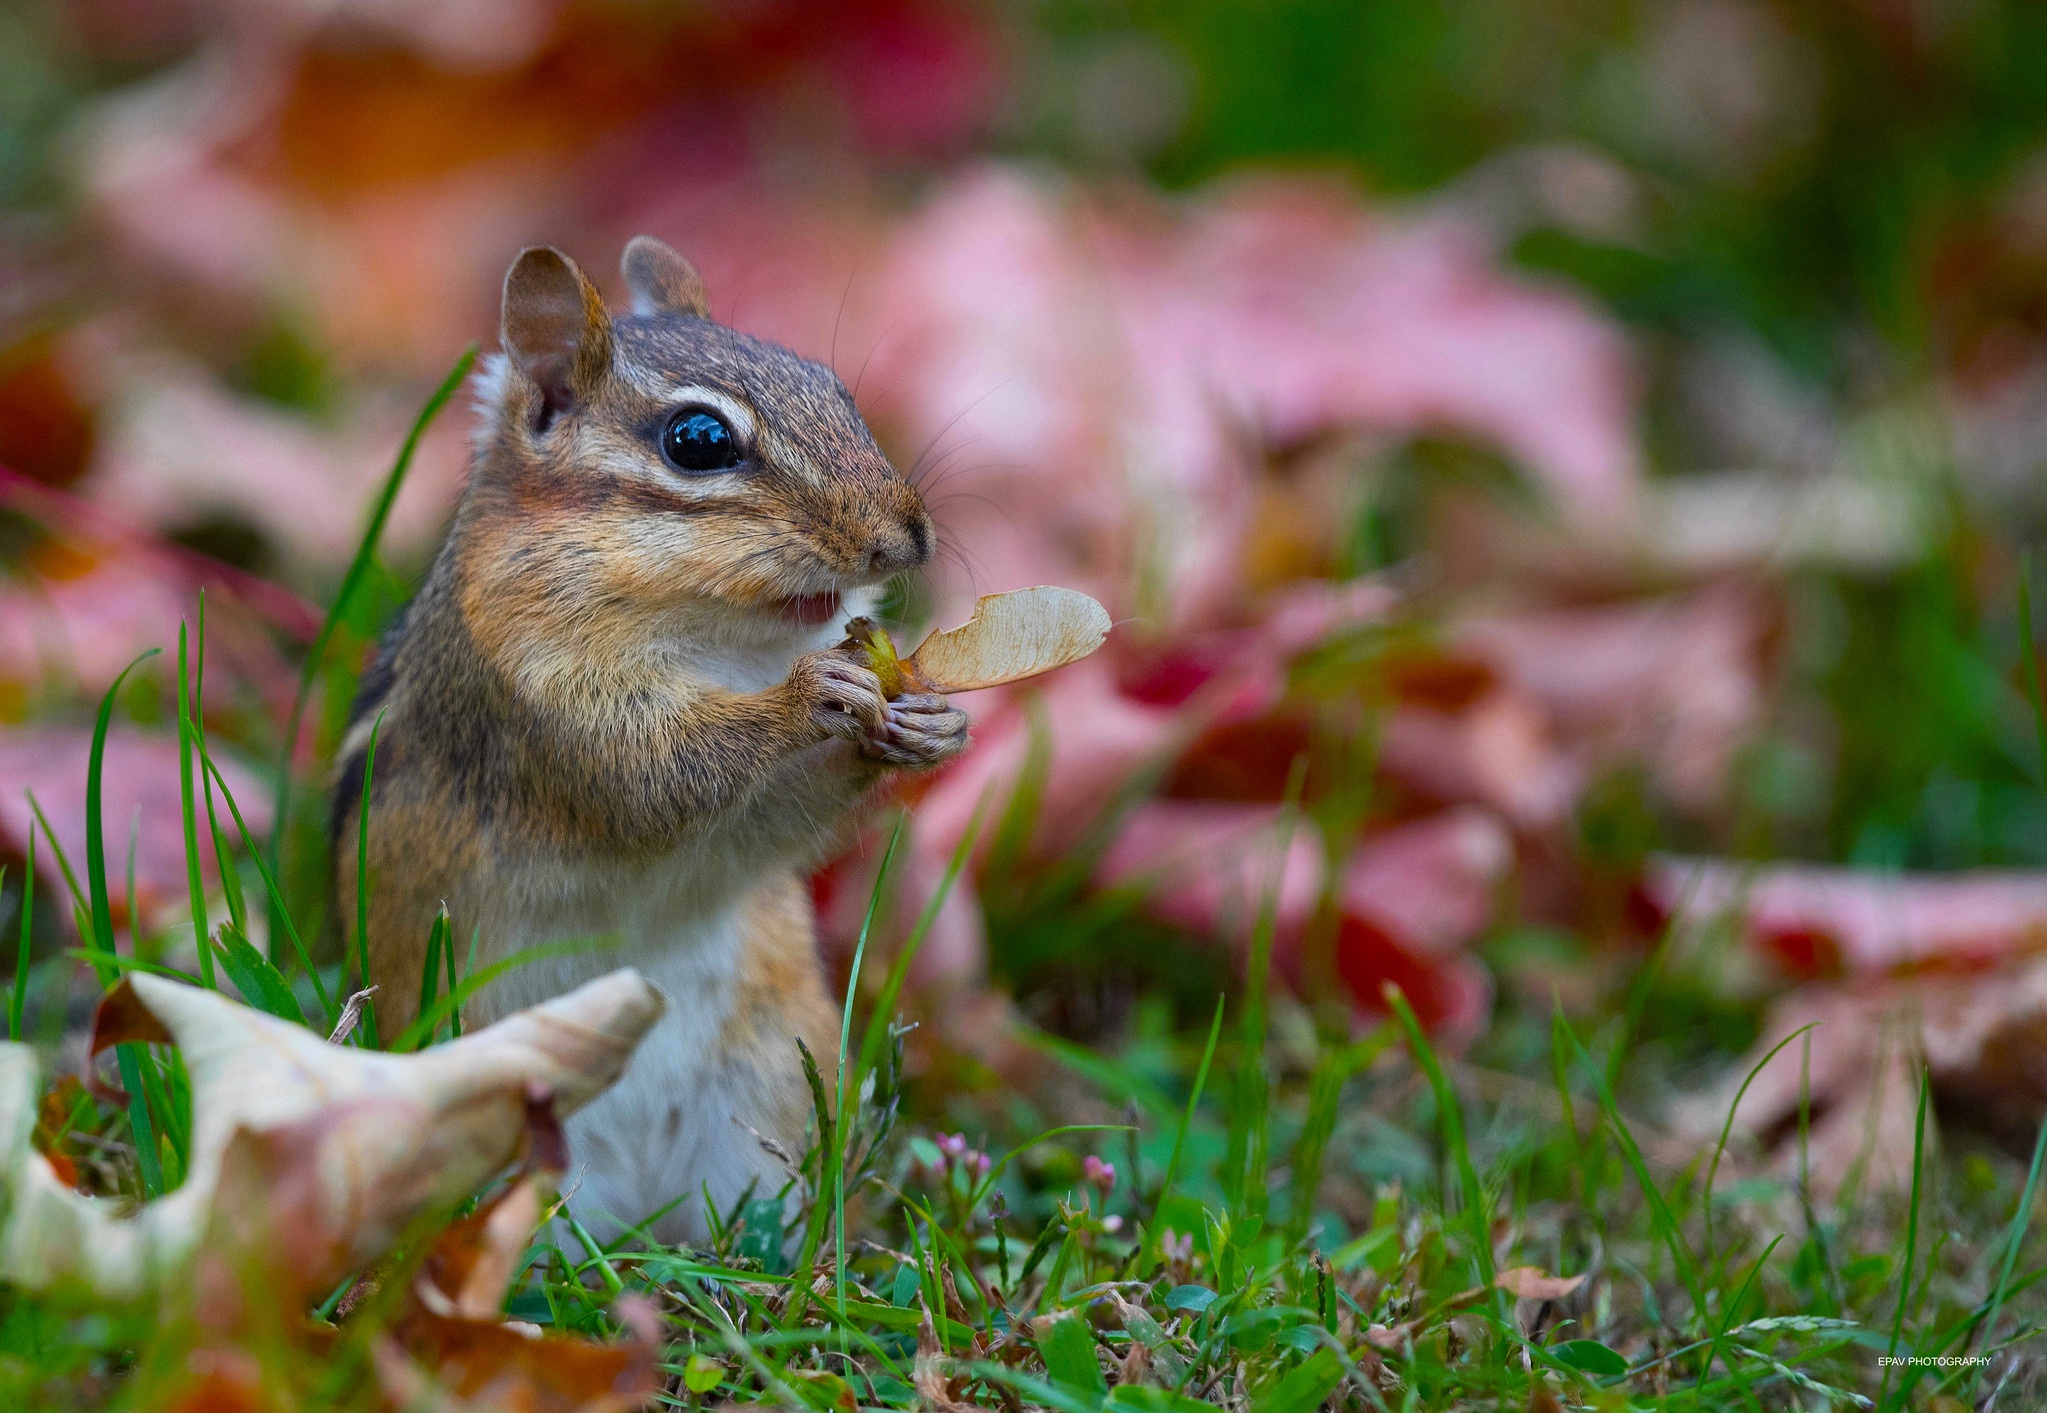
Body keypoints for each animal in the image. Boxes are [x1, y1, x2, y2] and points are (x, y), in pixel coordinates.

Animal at [331, 236, 970, 1243]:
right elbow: (659, 777)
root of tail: (634, 1214)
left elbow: (766, 828)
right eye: (698, 441)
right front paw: (809, 694)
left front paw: (929, 721)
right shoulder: (548, 706)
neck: (722, 642)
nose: (905, 541)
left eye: (837, 390)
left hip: (768, 1087)